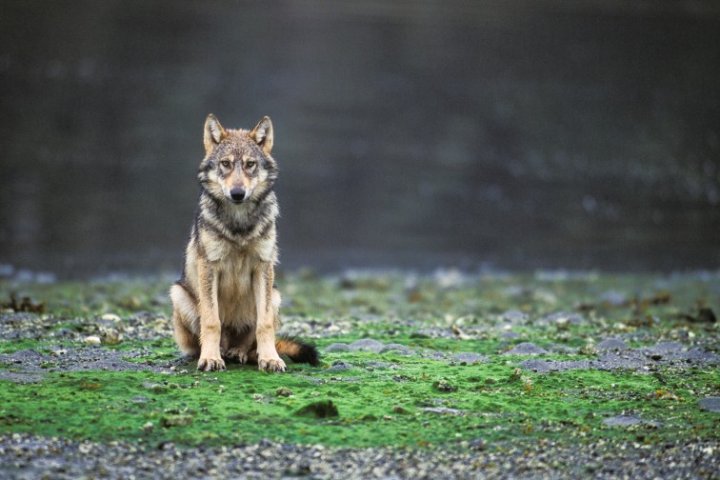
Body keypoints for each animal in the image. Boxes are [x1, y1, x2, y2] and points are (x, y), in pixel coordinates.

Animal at [169, 114, 318, 372]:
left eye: (250, 164)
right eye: (226, 164)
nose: (237, 193)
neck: (239, 226)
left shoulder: (263, 267)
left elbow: (264, 325)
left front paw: (270, 359)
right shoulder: (209, 267)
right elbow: (212, 321)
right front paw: (210, 358)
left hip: (275, 295)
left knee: (249, 345)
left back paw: (239, 352)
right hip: (178, 294)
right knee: (205, 339)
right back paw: (217, 352)